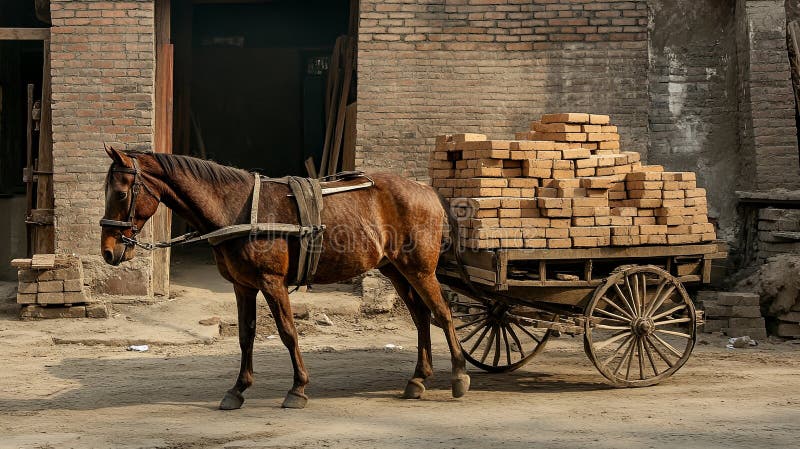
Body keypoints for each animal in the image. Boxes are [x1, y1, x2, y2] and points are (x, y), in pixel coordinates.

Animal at [99, 147, 469, 409]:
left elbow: (288, 333)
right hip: (396, 270)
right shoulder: (243, 286)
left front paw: (298, 389)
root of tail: (425, 189)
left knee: (442, 315)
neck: (237, 209)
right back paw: (418, 379)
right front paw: (238, 389)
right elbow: (245, 337)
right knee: (421, 317)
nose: (108, 251)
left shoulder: (271, 282)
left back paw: (459, 374)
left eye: (121, 193)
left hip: (420, 270)